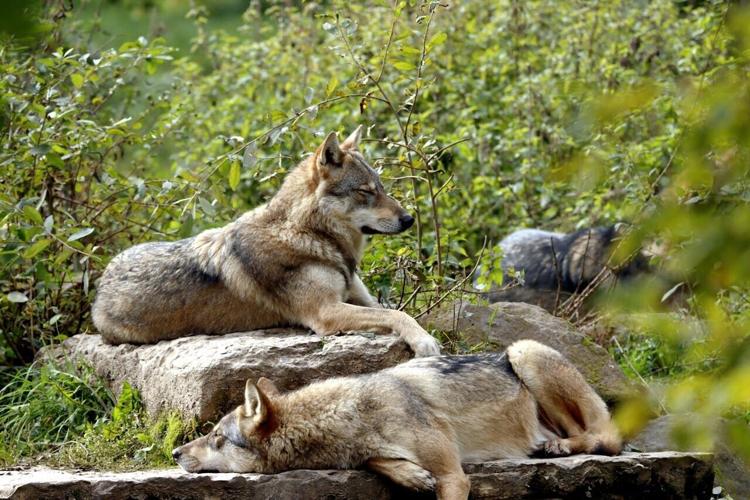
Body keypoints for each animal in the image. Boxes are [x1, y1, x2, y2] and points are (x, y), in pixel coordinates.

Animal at [92, 127, 440, 357]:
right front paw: (425, 342)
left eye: (382, 188)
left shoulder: (360, 299)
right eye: (366, 191)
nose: (409, 219)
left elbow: (399, 312)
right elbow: (397, 315)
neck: (311, 236)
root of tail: (100, 283)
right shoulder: (325, 311)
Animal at [172, 339, 621, 500]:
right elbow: (379, 460)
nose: (175, 452)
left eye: (216, 436)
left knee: (607, 438)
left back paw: (557, 446)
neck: (352, 413)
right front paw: (411, 476)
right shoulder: (370, 451)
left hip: (523, 352)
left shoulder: (455, 476)